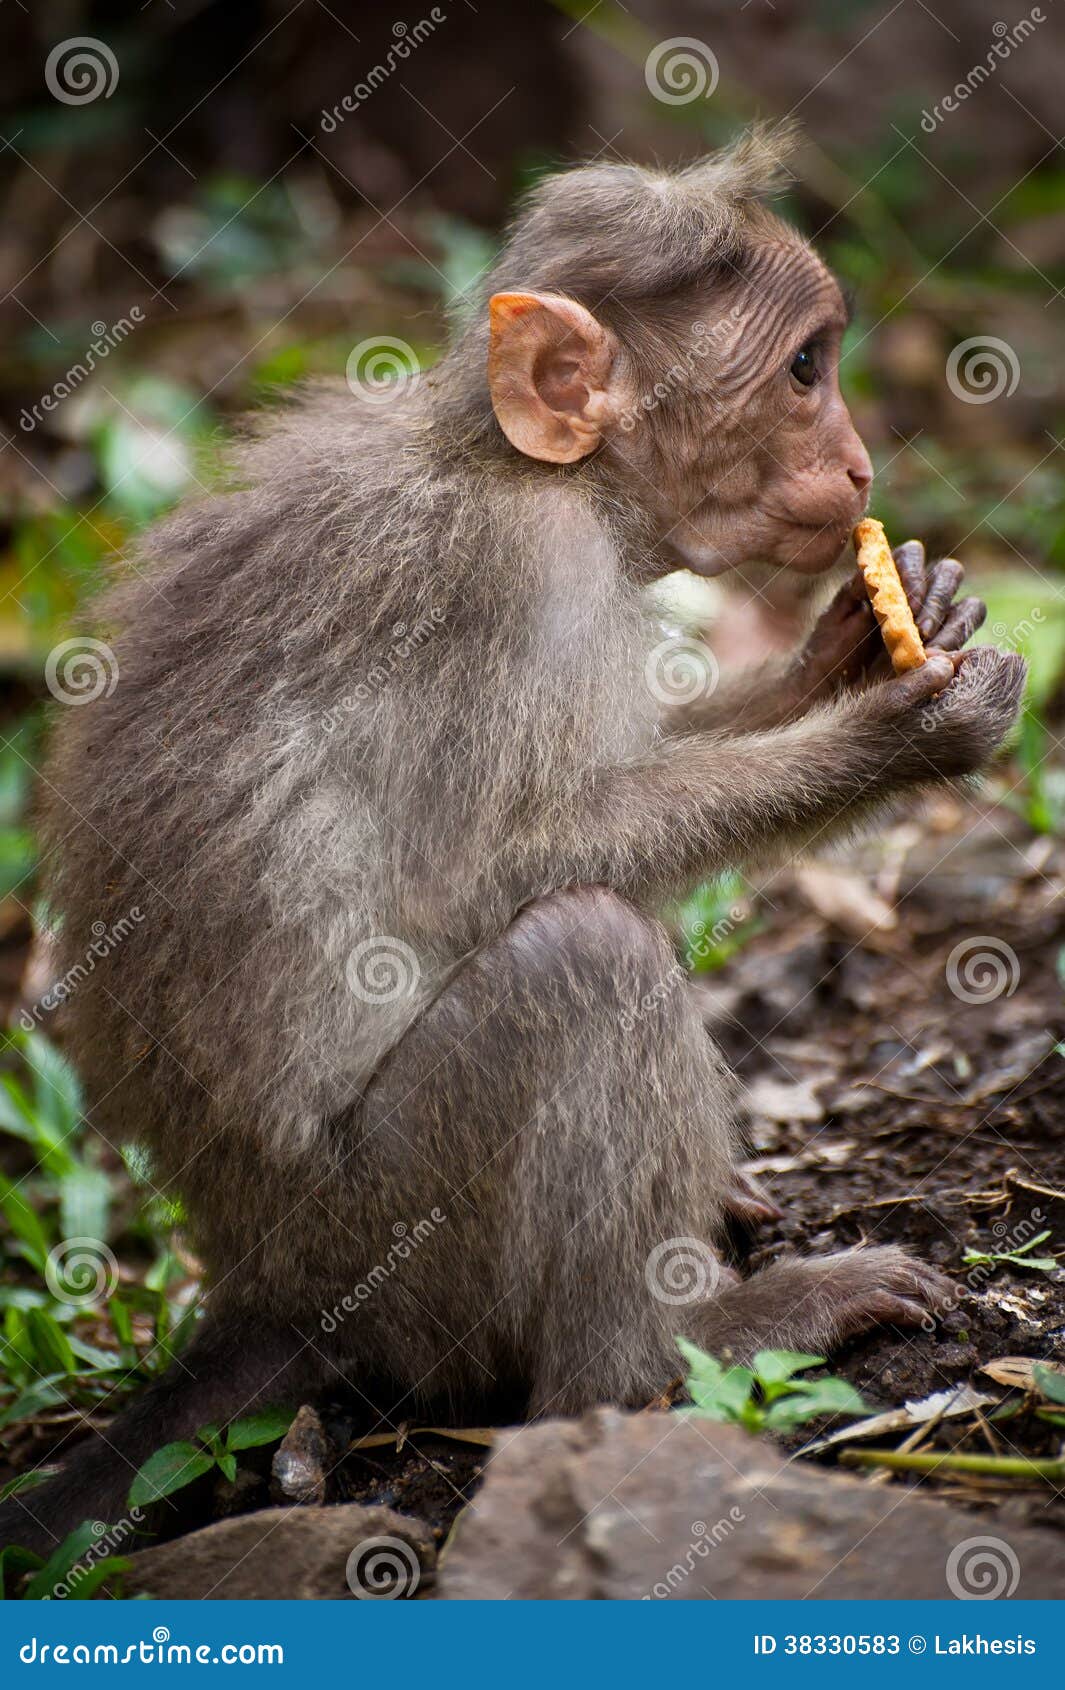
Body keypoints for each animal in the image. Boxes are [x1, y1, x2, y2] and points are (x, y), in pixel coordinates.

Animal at [0, 126, 1024, 1554]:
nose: (865, 464)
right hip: (398, 1238)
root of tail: (267, 1284)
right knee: (583, 952)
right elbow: (500, 867)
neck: (527, 469)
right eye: (805, 370)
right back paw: (665, 1349)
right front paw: (897, 730)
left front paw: (851, 650)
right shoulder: (508, 577)